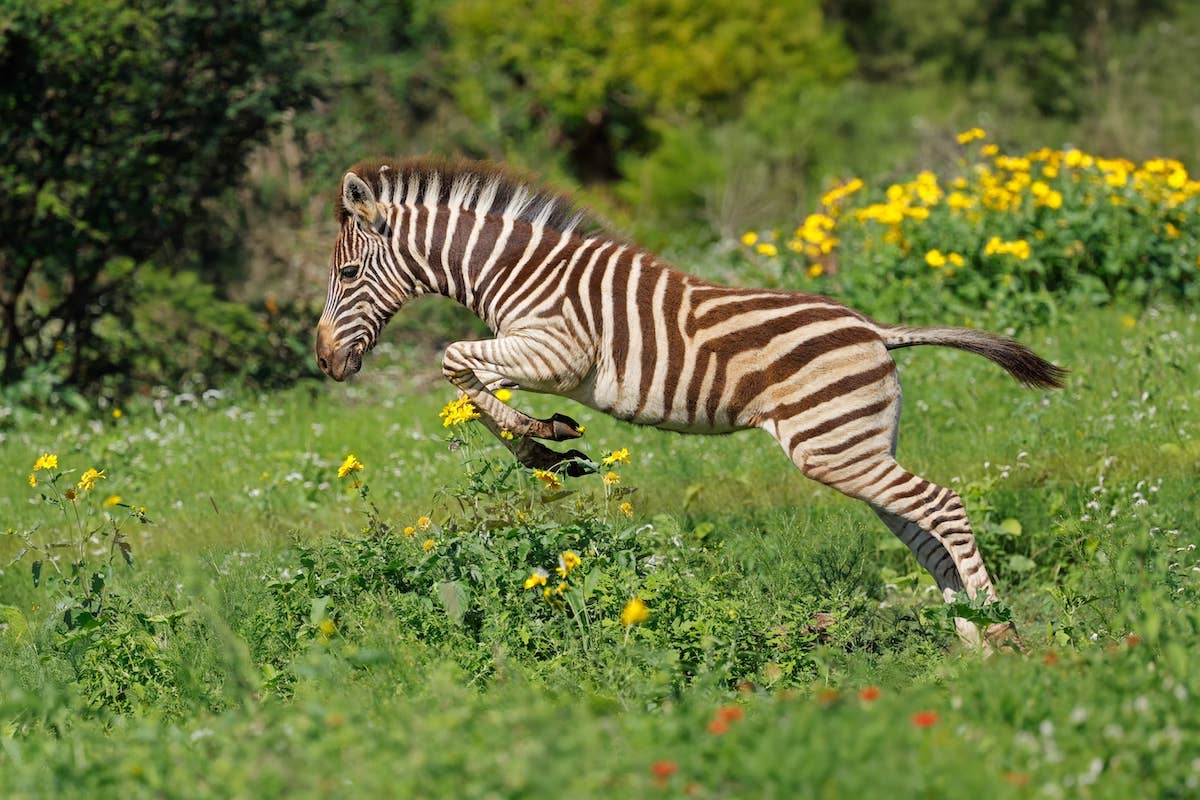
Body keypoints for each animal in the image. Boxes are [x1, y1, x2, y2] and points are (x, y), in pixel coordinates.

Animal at [315, 157, 1065, 651]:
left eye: (348, 273)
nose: (323, 361)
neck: (515, 271)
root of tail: (875, 329)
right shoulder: (536, 354)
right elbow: (471, 382)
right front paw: (551, 445)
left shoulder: (560, 352)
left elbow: (455, 363)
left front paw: (541, 442)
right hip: (854, 446)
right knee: (925, 528)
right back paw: (969, 641)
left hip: (833, 448)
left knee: (945, 507)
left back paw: (1001, 632)